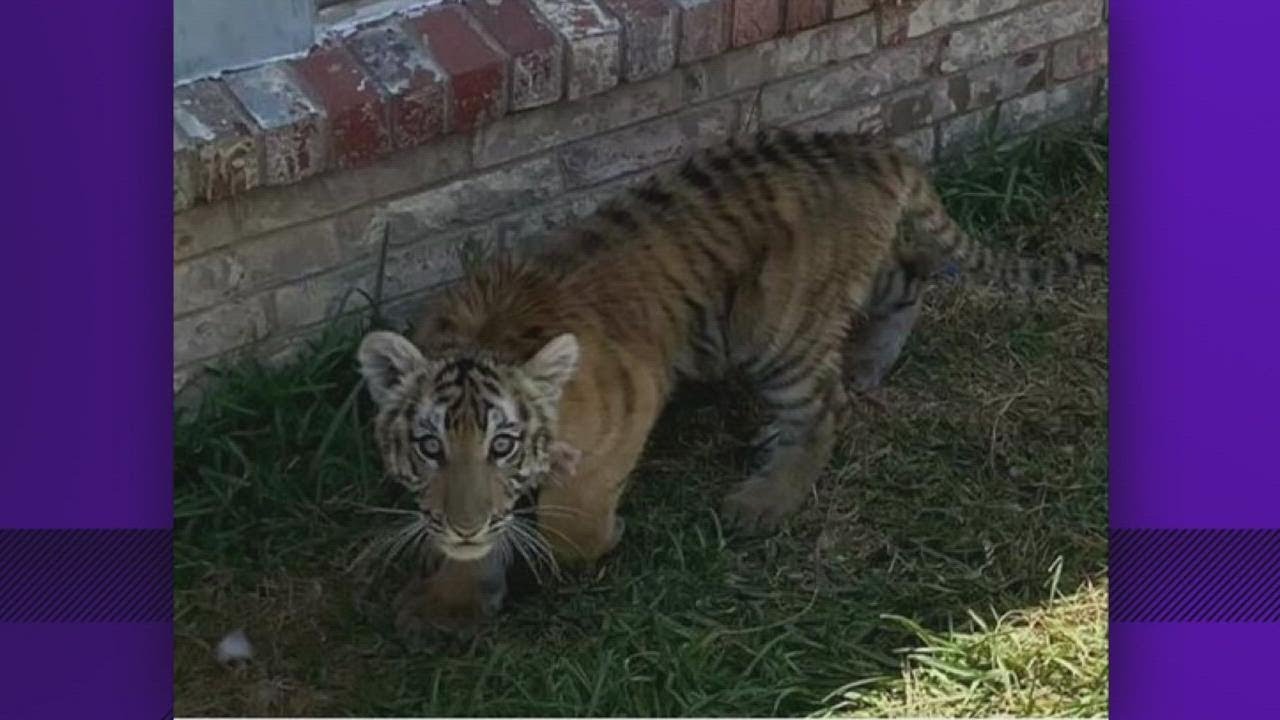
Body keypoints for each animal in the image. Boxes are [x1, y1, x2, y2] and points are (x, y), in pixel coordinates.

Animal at [356, 129, 1102, 632]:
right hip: (852, 284)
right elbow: (476, 537)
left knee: (823, 409)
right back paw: (869, 364)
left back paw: (766, 499)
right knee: (912, 276)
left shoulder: (628, 407)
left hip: (776, 329)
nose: (463, 524)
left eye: (503, 444)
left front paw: (591, 540)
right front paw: (452, 600)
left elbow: (572, 522)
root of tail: (873, 148)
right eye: (429, 447)